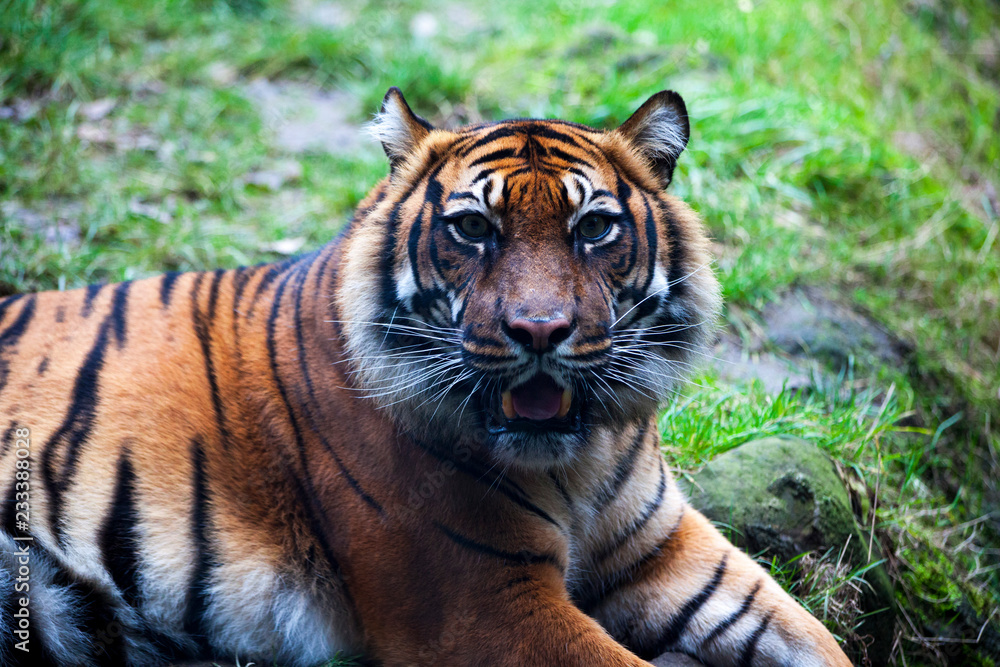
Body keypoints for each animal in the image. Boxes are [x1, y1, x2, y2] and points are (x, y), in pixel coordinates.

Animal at [0, 87, 852, 667]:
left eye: (594, 228)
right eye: (473, 228)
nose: (539, 330)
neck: (584, 458)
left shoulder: (664, 545)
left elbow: (813, 637)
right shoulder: (484, 602)